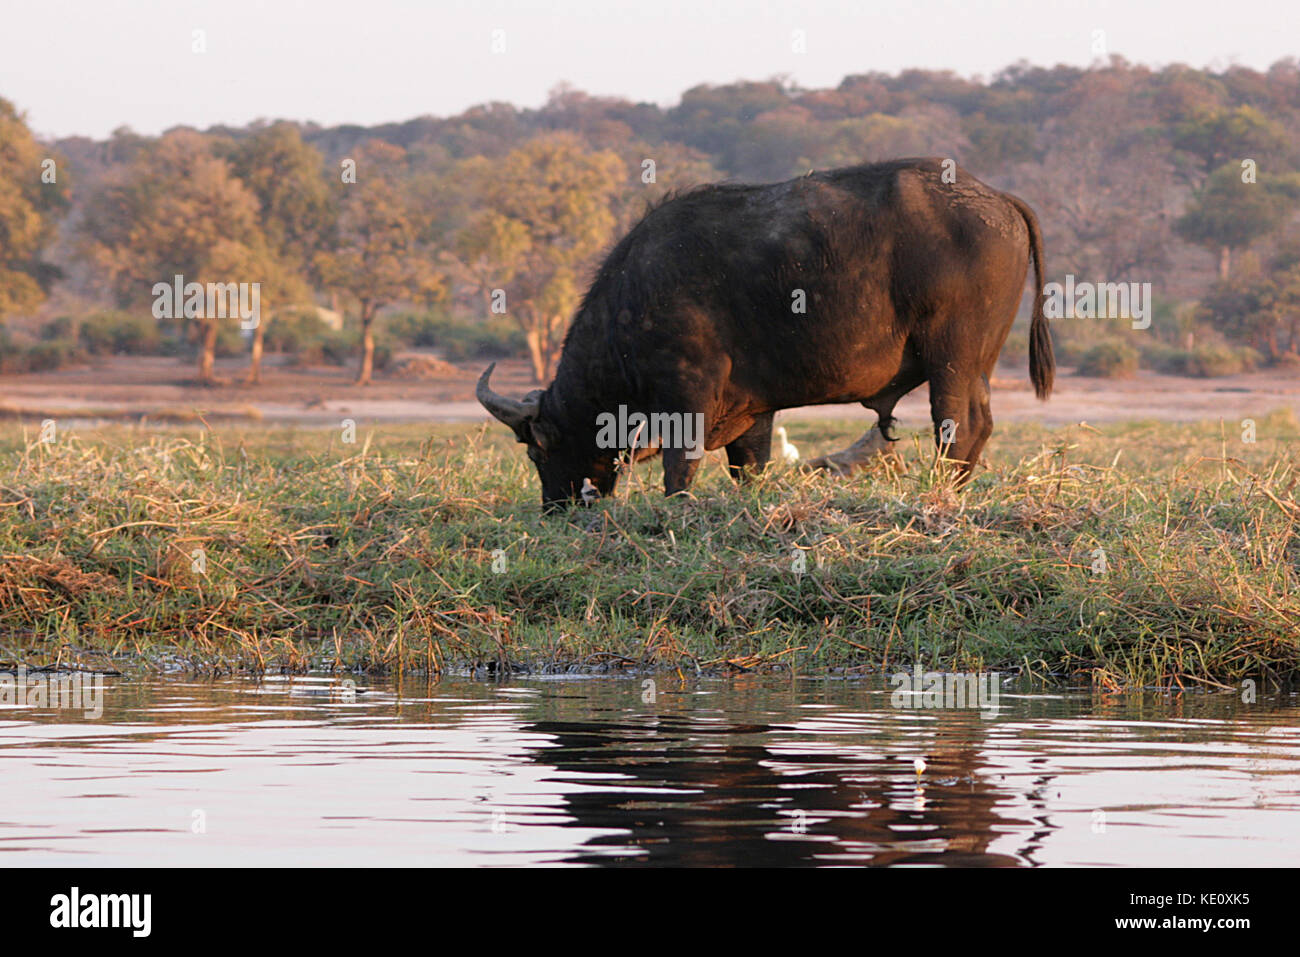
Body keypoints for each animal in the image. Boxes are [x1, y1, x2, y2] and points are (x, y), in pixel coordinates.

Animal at [477, 157, 1053, 510]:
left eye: (537, 452)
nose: (555, 509)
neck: (635, 293)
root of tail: (998, 199)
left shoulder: (688, 397)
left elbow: (679, 469)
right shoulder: (753, 410)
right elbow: (748, 467)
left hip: (952, 359)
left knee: (958, 425)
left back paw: (941, 489)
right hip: (976, 365)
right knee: (979, 426)